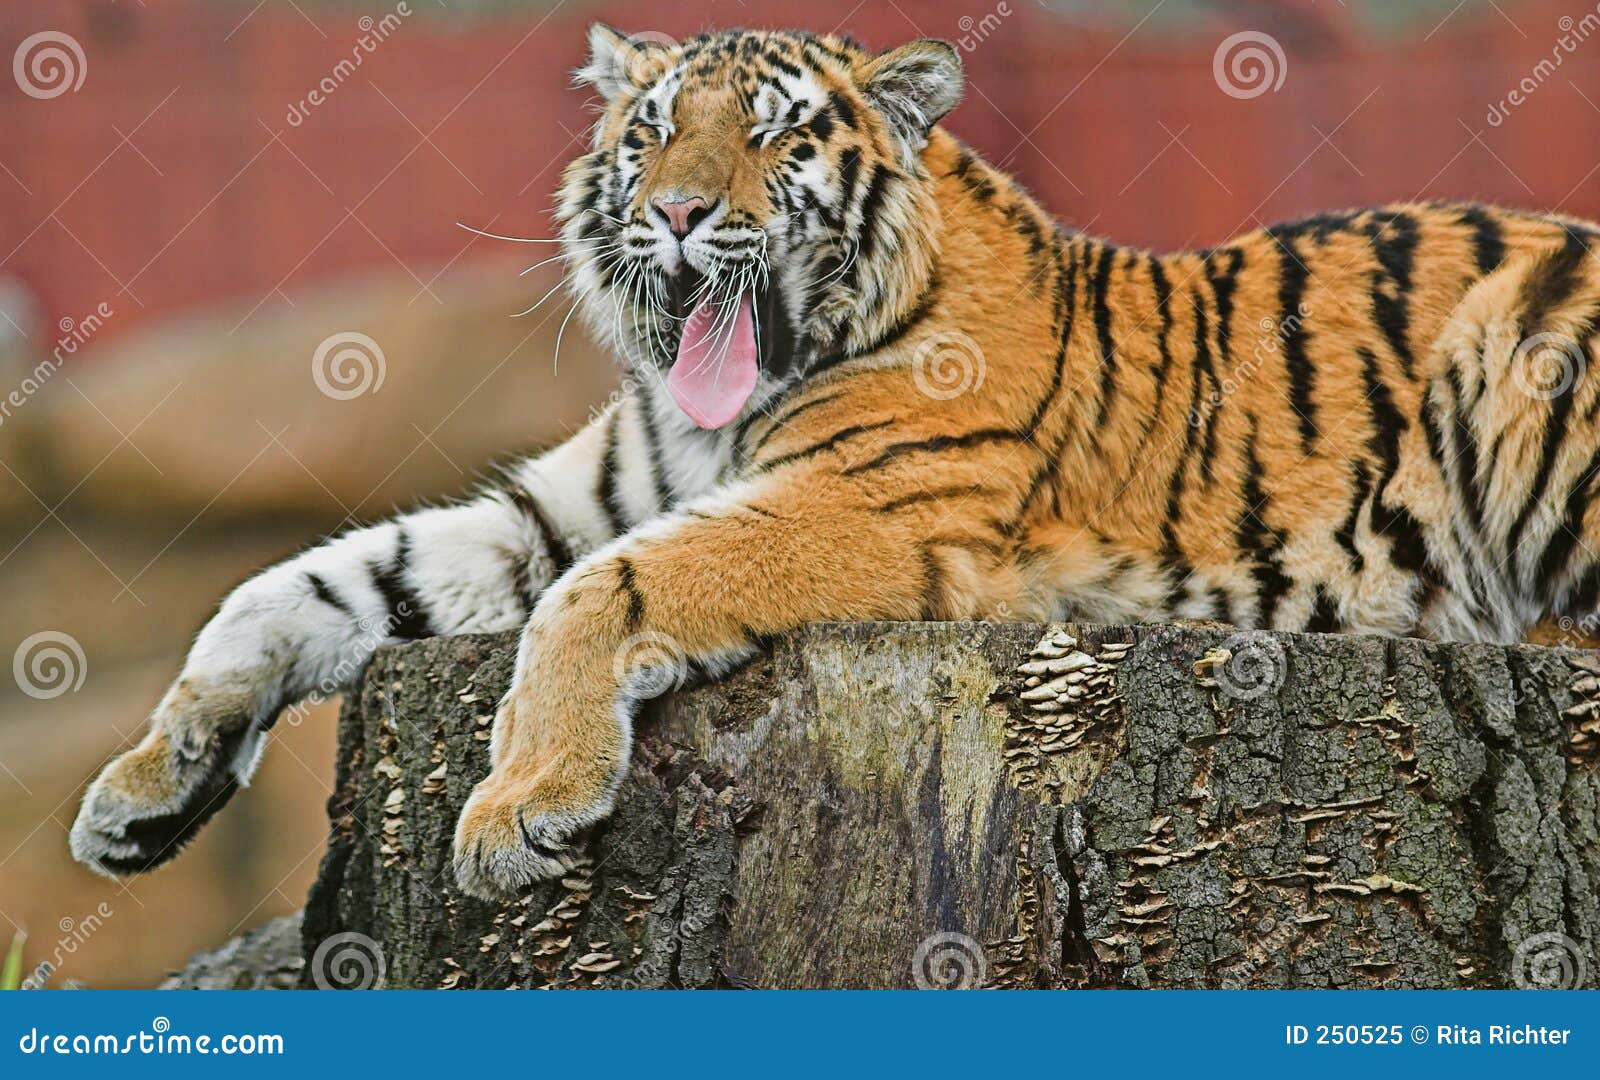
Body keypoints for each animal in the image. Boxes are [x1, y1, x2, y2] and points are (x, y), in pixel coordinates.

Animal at [70, 25, 1600, 900]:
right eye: (650, 131)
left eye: (772, 134)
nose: (680, 213)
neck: (715, 409)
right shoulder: (563, 506)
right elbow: (298, 589)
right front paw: (143, 787)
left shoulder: (874, 511)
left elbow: (601, 597)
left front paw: (517, 808)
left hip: (1523, 347)